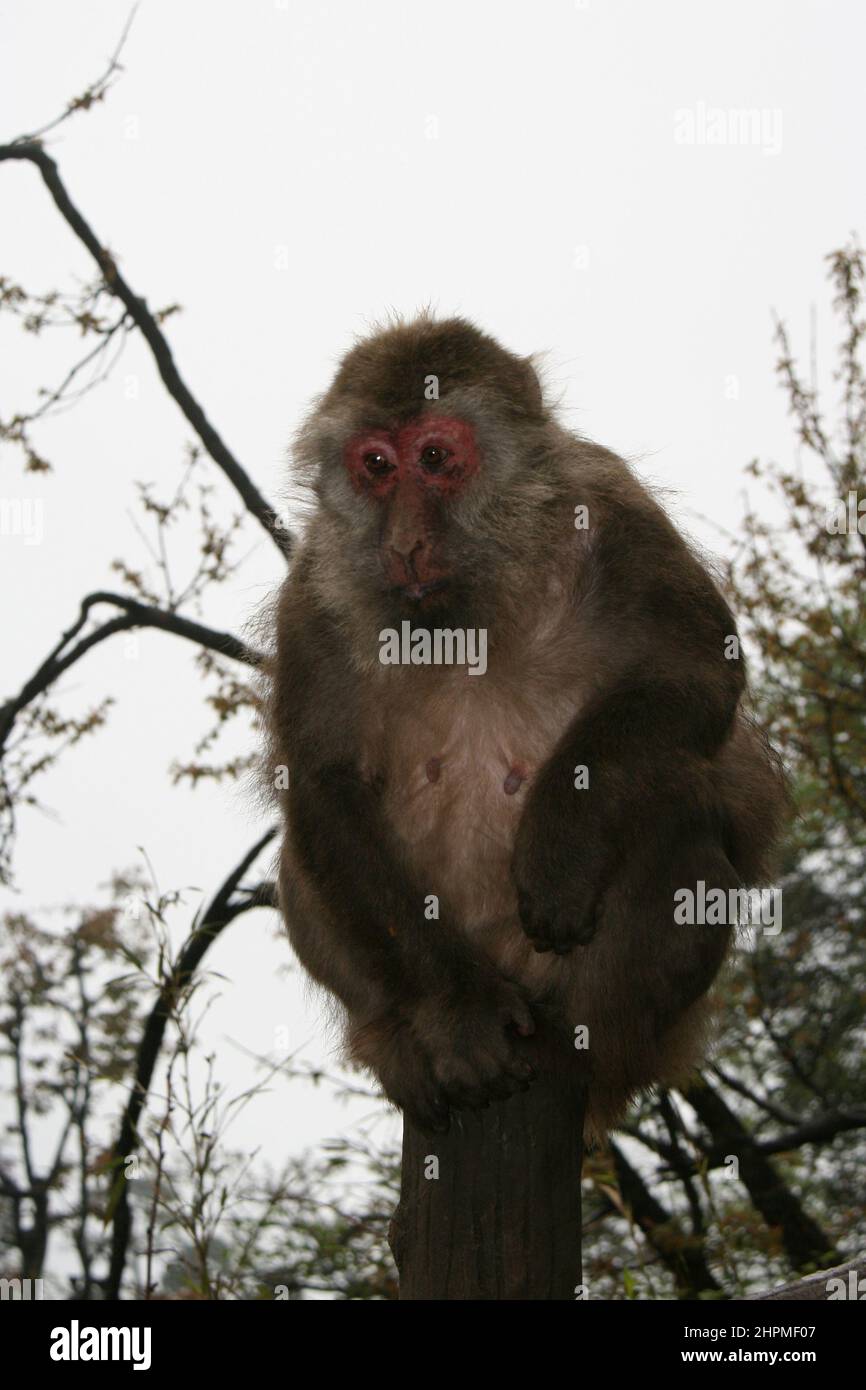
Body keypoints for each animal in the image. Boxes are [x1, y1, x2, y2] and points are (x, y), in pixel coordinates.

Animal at [264, 313, 786, 1141]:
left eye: (436, 458)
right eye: (376, 465)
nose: (405, 542)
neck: (469, 613)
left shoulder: (611, 505)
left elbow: (697, 672)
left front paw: (559, 845)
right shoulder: (314, 585)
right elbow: (323, 779)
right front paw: (461, 1013)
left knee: (686, 826)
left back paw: (587, 1047)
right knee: (303, 856)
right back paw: (399, 1044)